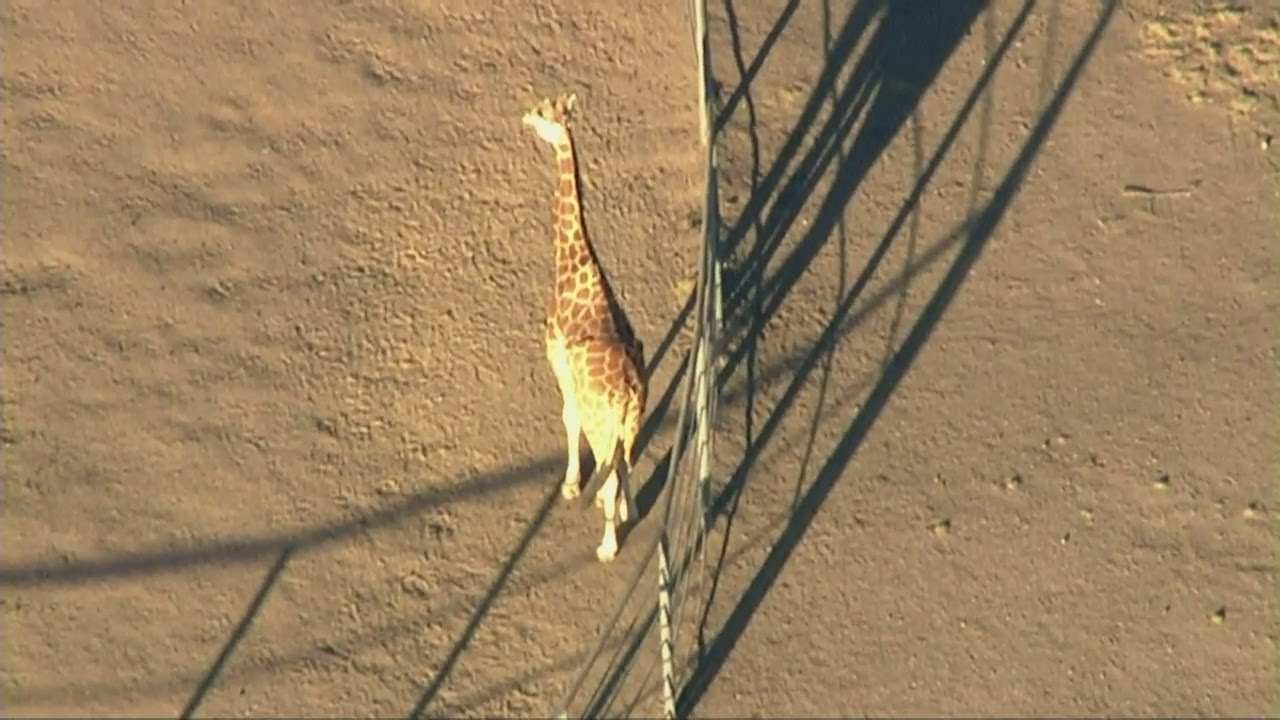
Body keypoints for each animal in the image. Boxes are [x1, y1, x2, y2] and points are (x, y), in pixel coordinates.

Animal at [522, 93, 647, 563]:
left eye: (544, 113)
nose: (524, 116)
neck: (575, 266)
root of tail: (627, 391)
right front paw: (626, 507)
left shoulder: (556, 356)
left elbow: (567, 415)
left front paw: (572, 485)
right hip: (632, 419)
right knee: (625, 460)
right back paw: (629, 509)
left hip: (603, 422)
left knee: (608, 470)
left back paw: (607, 546)